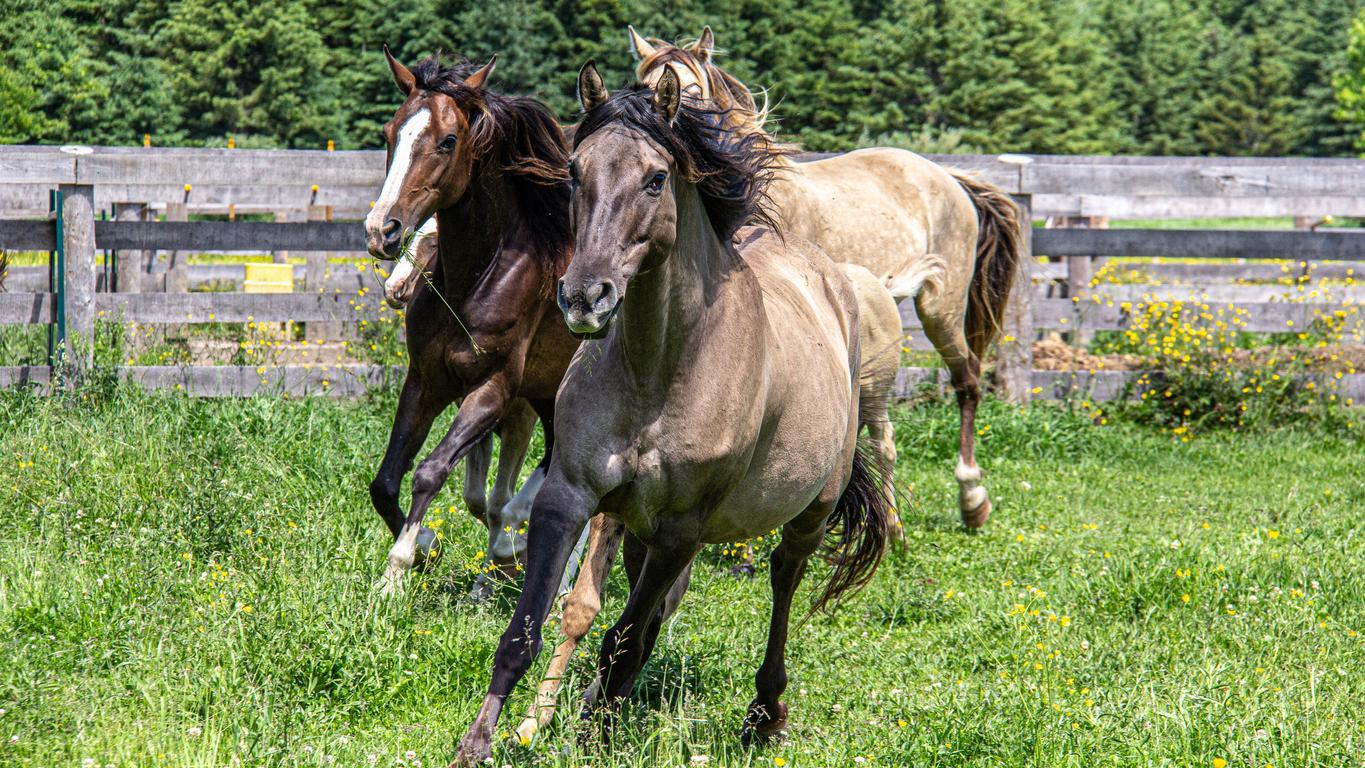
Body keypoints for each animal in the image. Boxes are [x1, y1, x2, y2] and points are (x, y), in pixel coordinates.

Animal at [364, 48, 581, 593]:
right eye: (390, 131)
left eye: (448, 139)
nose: (381, 231)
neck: (476, 280)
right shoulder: (426, 382)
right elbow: (387, 480)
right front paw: (428, 545)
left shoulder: (493, 391)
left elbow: (430, 471)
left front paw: (395, 574)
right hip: (546, 396)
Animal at [452, 64, 893, 766]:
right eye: (574, 171)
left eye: (655, 178)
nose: (585, 297)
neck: (658, 371)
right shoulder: (569, 498)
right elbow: (528, 631)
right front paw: (484, 741)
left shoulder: (682, 527)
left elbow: (623, 639)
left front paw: (594, 734)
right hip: (636, 529)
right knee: (655, 610)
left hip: (810, 511)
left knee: (783, 578)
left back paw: (765, 714)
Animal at [630, 25, 1026, 530]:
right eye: (638, 87)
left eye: (693, 92)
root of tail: (948, 177)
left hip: (942, 309)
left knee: (967, 380)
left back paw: (971, 498)